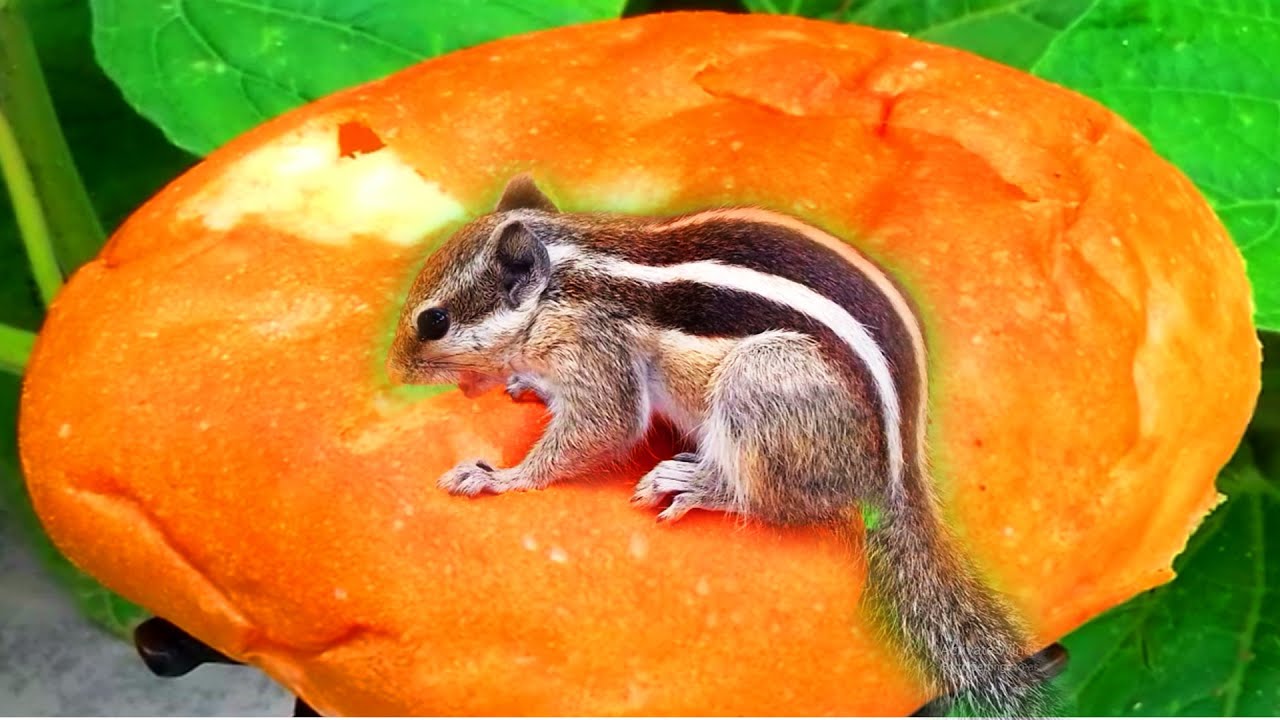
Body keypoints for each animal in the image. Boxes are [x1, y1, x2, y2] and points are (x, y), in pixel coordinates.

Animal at [387, 174, 1055, 717]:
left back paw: (697, 484)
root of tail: (897, 470)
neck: (562, 280)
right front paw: (526, 384)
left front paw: (501, 477)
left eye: (433, 321)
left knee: (775, 502)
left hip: (761, 384)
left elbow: (604, 425)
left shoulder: (595, 348)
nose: (394, 369)